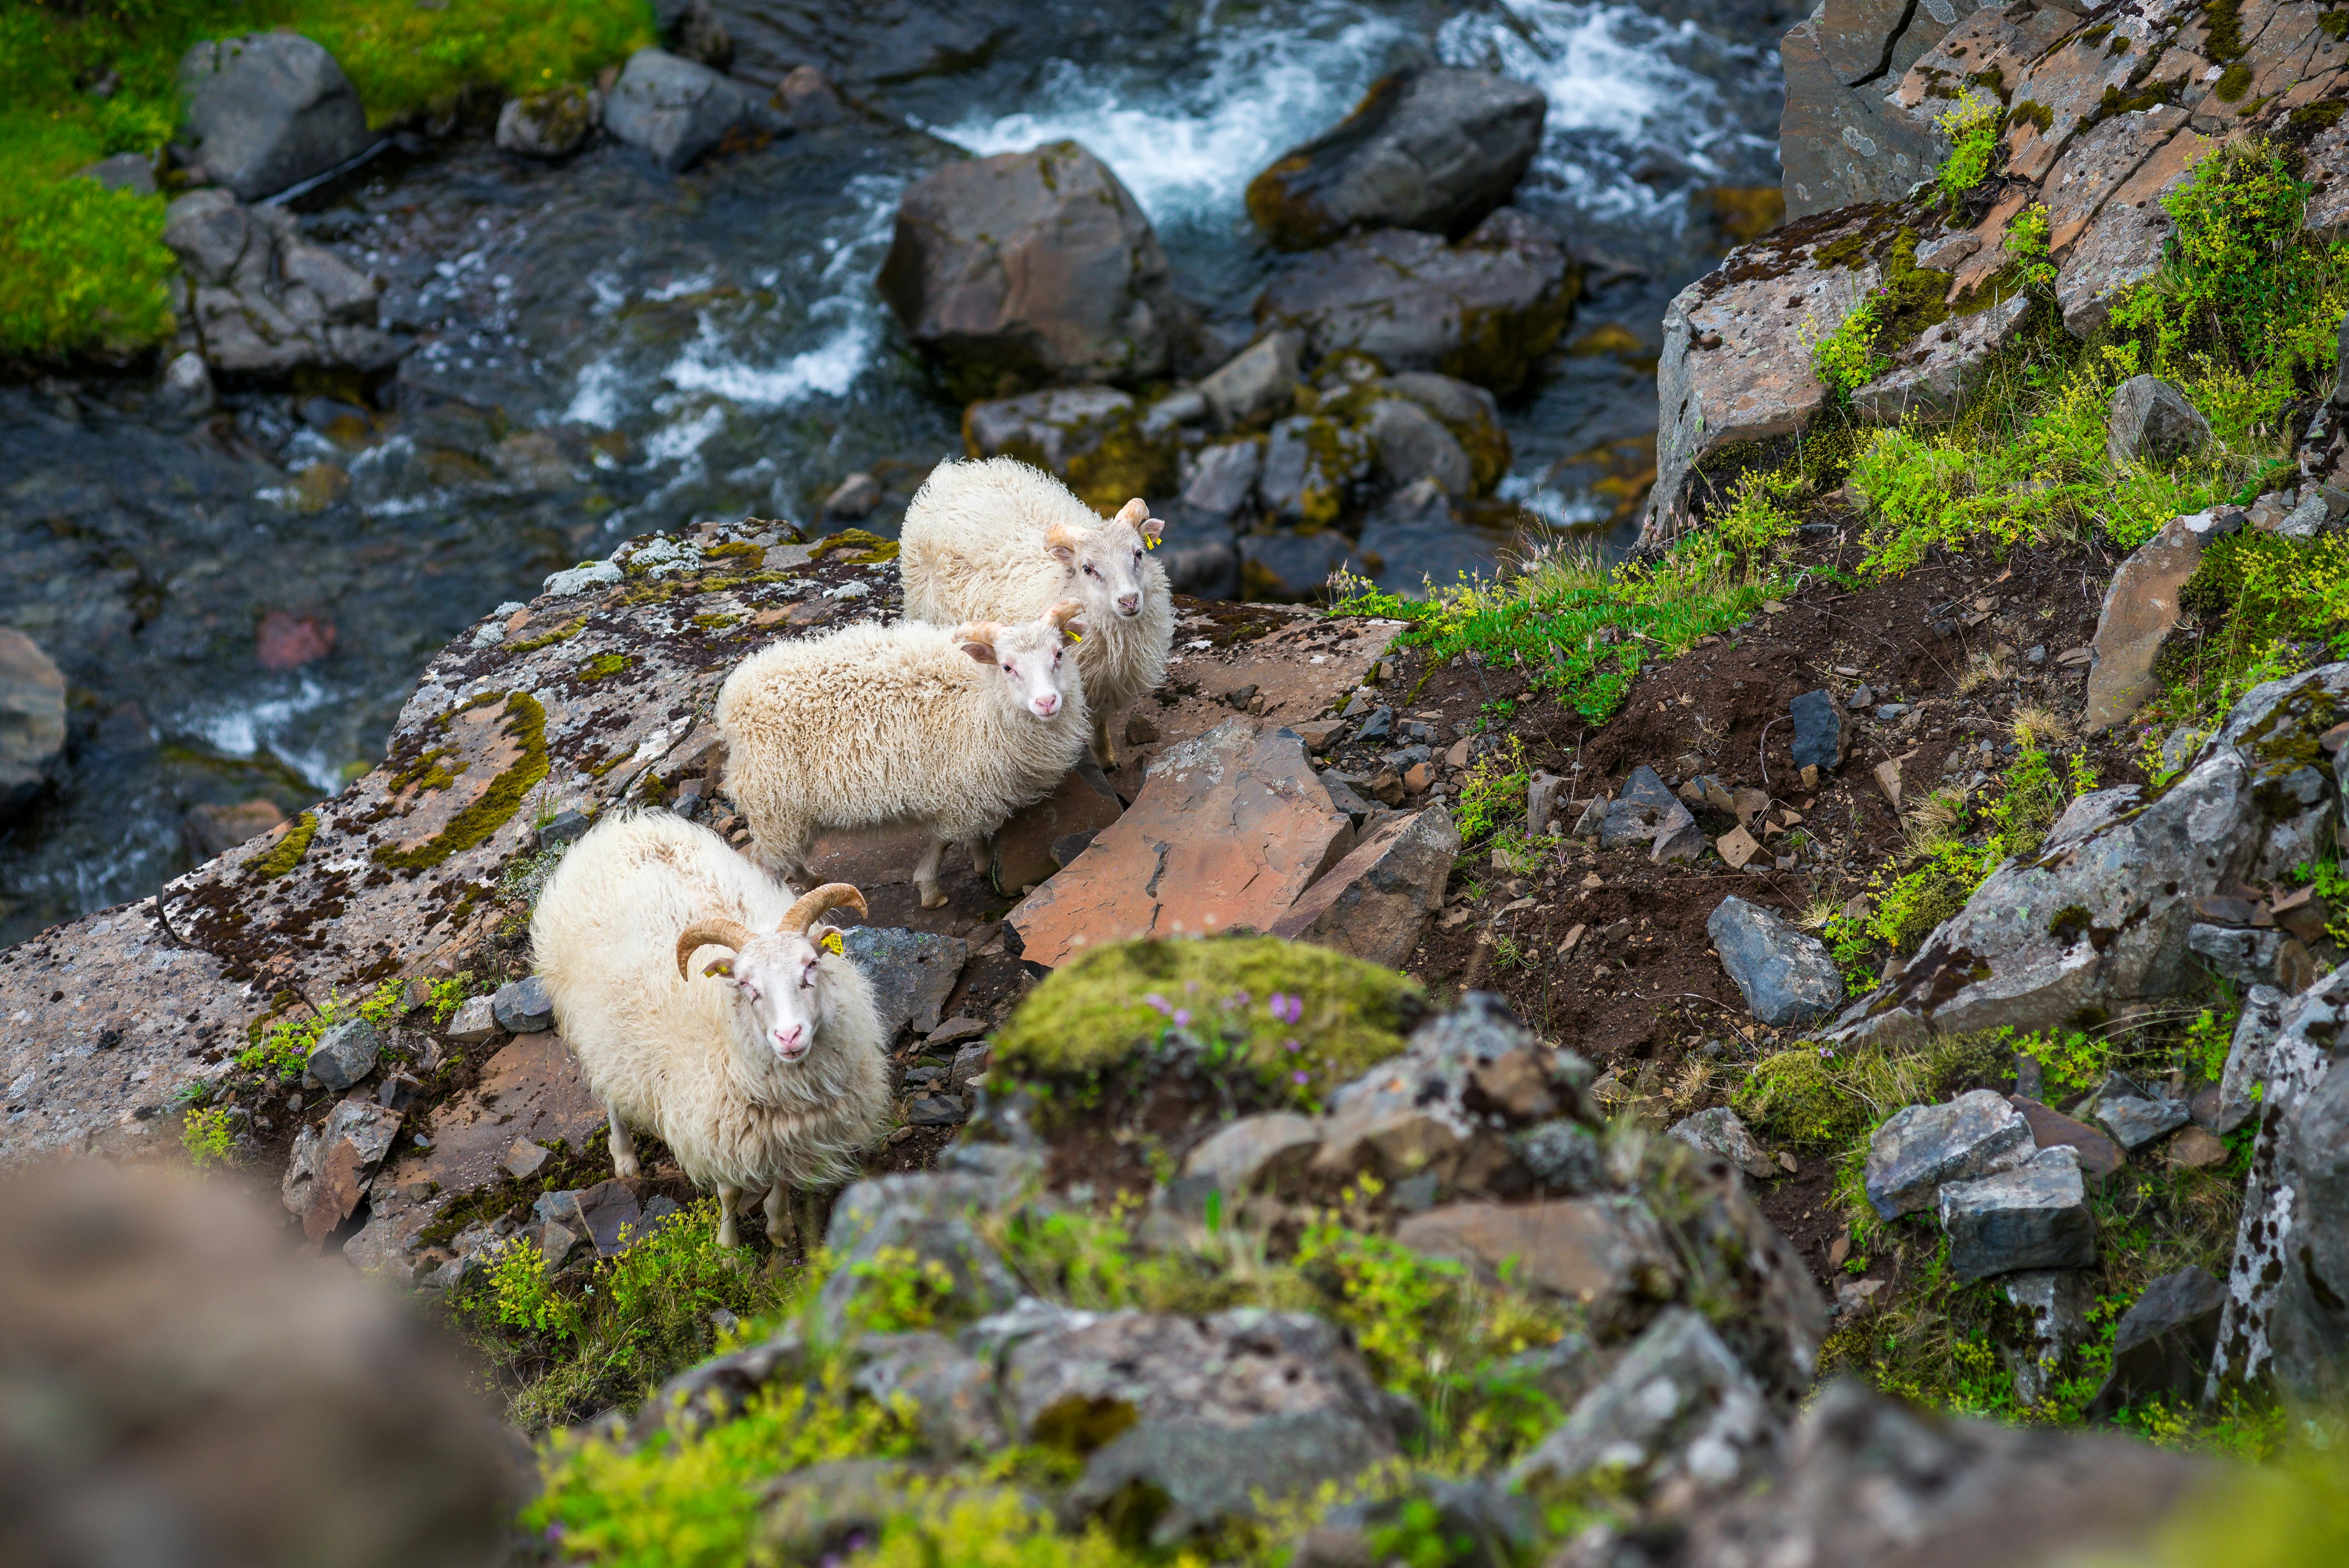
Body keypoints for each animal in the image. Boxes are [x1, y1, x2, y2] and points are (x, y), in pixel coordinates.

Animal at [530, 810, 891, 1249]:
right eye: (746, 985)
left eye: (812, 965)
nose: (789, 1037)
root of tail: (621, 826)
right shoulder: (712, 1125)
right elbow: (730, 1193)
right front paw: (728, 1248)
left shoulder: (786, 1134)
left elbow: (782, 1179)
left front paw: (779, 1226)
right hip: (591, 1026)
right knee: (610, 1094)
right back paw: (625, 1157)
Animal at [717, 601, 1090, 909]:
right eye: (1007, 667)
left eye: (1059, 654)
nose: (1047, 702)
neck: (982, 697)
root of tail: (733, 704)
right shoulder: (958, 790)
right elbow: (943, 840)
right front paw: (931, 890)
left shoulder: (974, 789)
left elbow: (971, 836)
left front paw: (981, 861)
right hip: (775, 802)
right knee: (767, 862)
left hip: (786, 809)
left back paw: (809, 880)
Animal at [900, 456, 1174, 769]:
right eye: (1087, 568)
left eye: (1139, 554)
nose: (1129, 601)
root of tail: (954, 470)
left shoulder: (1099, 688)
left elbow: (1099, 727)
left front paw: (1108, 761)